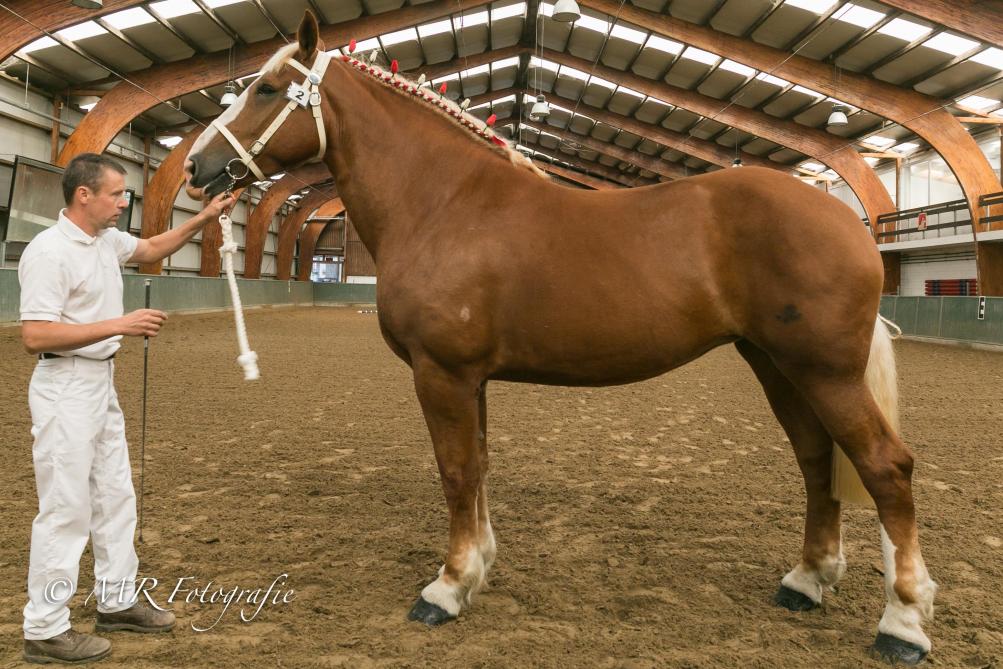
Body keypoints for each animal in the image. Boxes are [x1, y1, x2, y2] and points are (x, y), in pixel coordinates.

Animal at [183, 12, 936, 665]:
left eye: (267, 90)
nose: (197, 167)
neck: (445, 203)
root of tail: (847, 218)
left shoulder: (441, 373)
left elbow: (456, 471)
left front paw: (445, 588)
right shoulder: (470, 378)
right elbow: (479, 466)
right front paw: (477, 569)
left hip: (824, 372)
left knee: (885, 468)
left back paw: (900, 622)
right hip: (778, 366)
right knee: (816, 461)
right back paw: (806, 581)